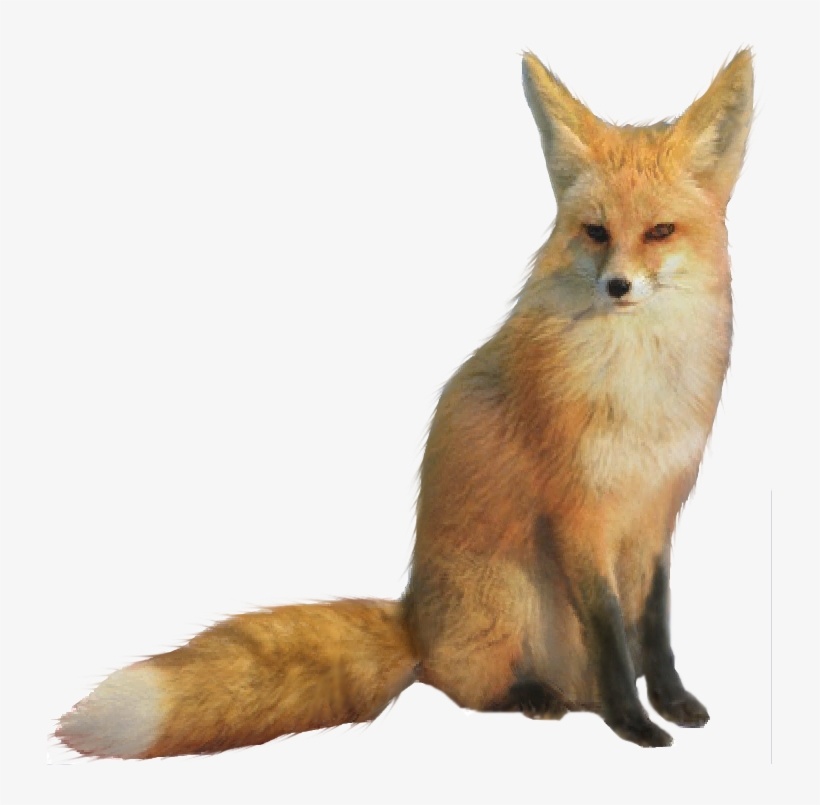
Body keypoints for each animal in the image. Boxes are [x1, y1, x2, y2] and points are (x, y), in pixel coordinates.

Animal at [56, 49, 753, 757]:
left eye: (659, 231)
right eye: (596, 232)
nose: (617, 286)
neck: (639, 382)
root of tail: (414, 620)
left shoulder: (657, 516)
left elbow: (656, 634)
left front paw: (673, 703)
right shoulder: (579, 517)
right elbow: (613, 641)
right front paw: (634, 725)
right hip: (508, 597)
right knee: (459, 683)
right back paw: (536, 696)